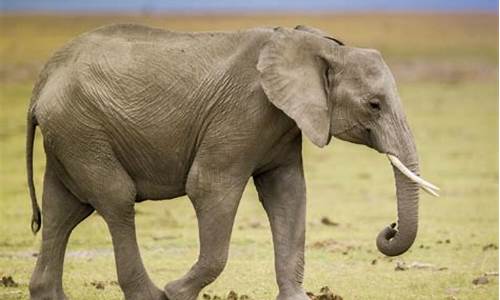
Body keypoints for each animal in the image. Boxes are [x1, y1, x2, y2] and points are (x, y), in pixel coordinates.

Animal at [25, 24, 438, 300]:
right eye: (374, 105)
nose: (389, 228)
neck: (319, 46)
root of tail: (43, 78)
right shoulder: (241, 113)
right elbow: (208, 187)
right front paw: (177, 292)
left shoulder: (283, 123)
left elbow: (288, 195)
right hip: (82, 129)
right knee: (116, 200)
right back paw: (153, 295)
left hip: (71, 135)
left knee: (63, 209)